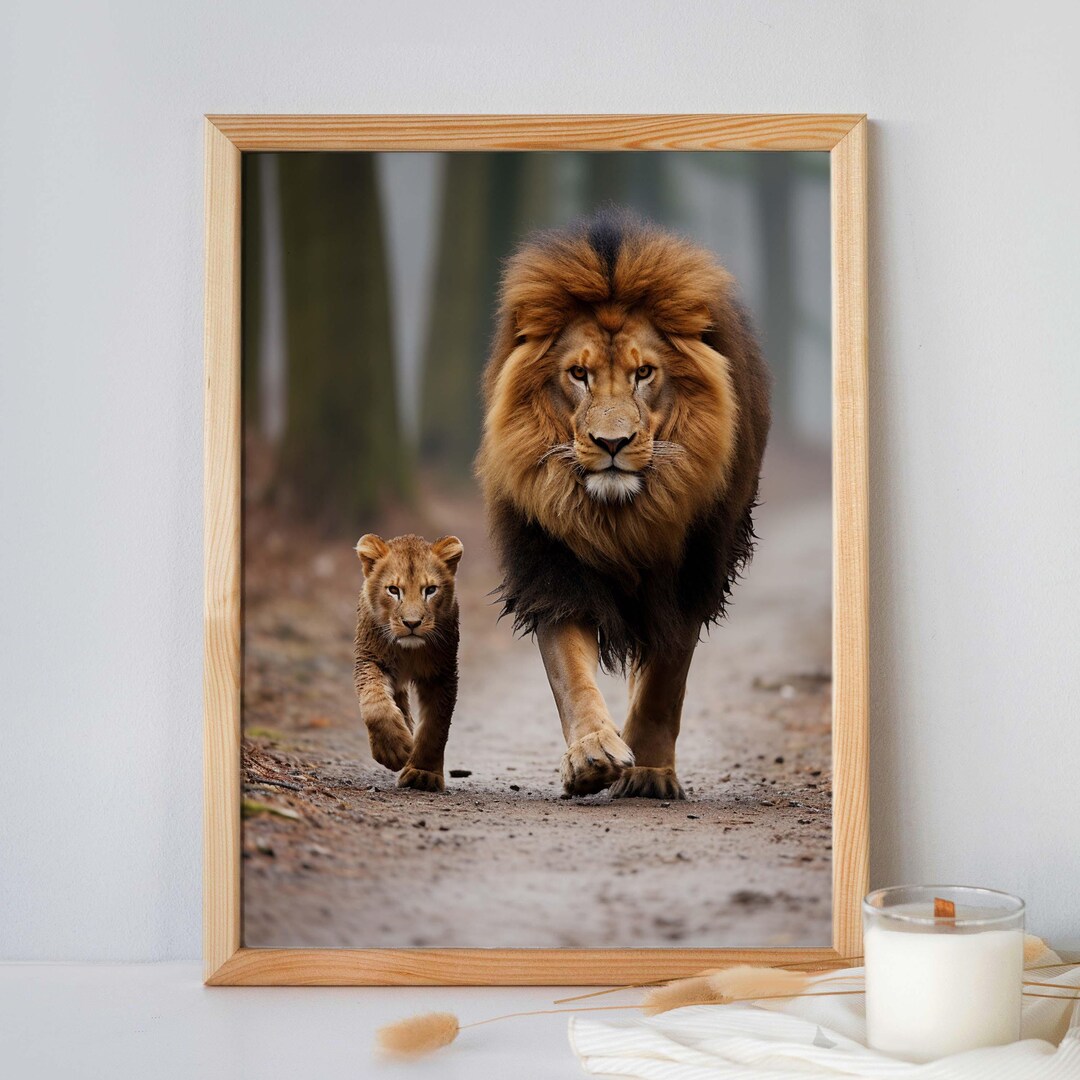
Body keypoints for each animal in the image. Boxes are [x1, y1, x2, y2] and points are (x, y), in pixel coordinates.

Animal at [353, 532, 464, 792]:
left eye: (430, 590)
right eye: (393, 590)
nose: (412, 623)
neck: (408, 652)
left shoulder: (442, 673)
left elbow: (436, 725)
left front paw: (423, 774)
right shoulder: (369, 659)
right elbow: (374, 704)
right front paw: (393, 750)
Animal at [476, 209, 771, 800]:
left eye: (644, 373)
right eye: (579, 374)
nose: (611, 443)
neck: (619, 518)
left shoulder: (688, 579)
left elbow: (664, 681)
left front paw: (649, 772)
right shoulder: (553, 572)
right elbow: (570, 672)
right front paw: (593, 755)